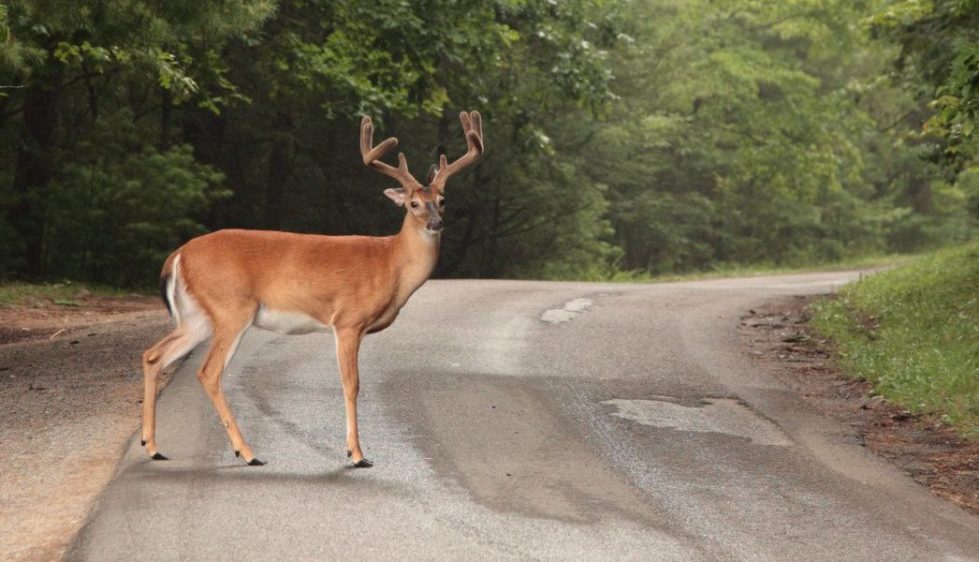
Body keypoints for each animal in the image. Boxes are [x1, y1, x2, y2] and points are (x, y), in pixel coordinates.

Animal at [140, 111, 483, 468]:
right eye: (414, 203)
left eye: (442, 201)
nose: (435, 223)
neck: (390, 262)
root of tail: (178, 255)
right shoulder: (348, 320)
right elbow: (351, 384)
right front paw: (356, 454)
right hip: (231, 308)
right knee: (208, 372)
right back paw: (247, 453)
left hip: (198, 316)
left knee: (154, 355)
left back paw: (153, 446)